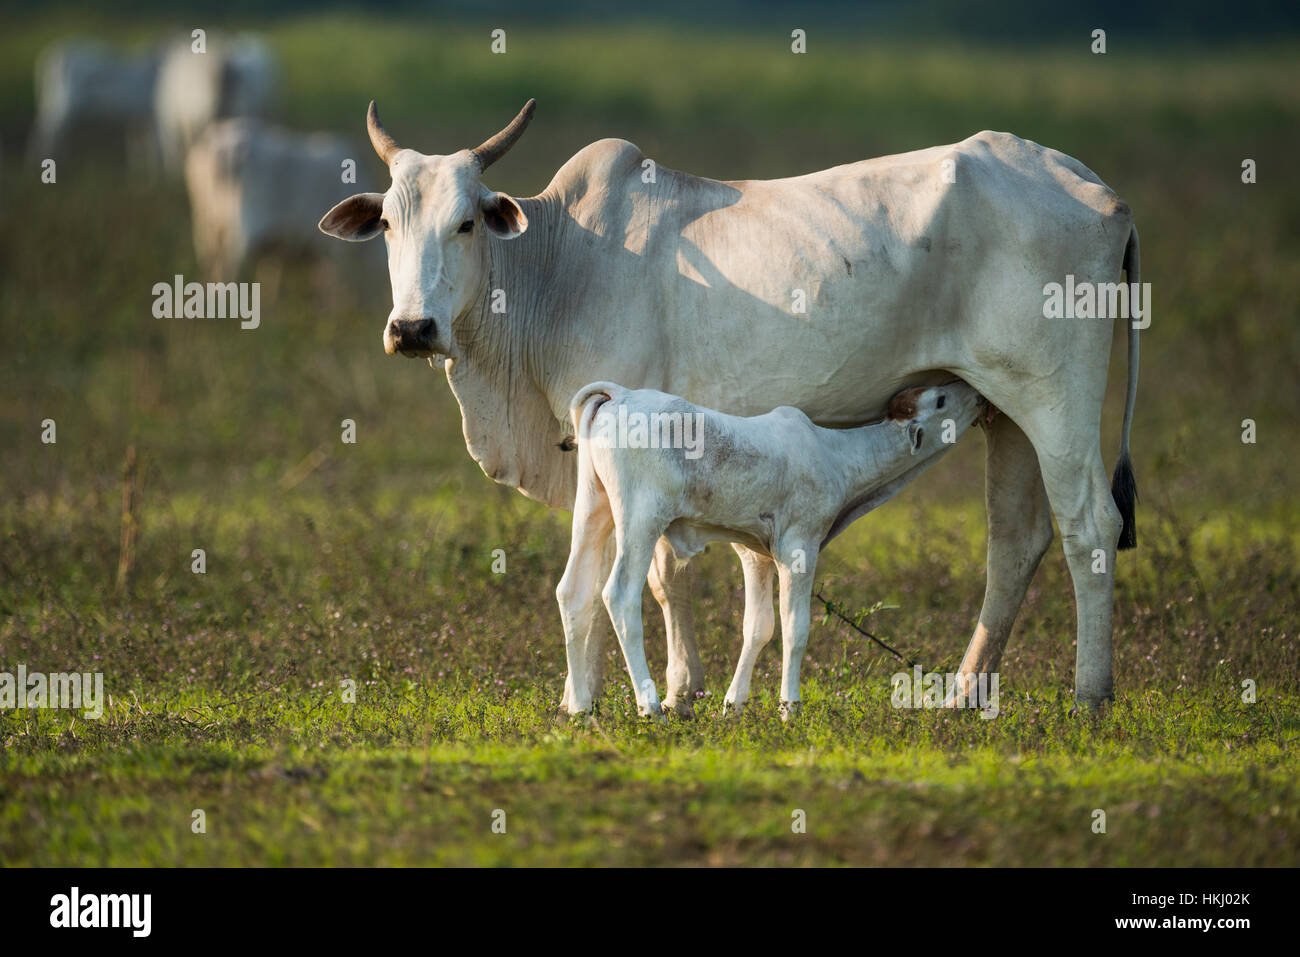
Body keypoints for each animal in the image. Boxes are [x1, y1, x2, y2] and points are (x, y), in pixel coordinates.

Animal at [559, 380, 984, 718]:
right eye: (941, 399)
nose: (976, 393)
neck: (835, 454)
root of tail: (620, 395)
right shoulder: (799, 546)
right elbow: (795, 627)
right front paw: (789, 707)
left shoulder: (755, 554)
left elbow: (758, 627)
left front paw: (734, 704)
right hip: (641, 518)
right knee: (619, 595)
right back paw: (649, 706)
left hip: (592, 508)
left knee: (572, 593)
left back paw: (579, 708)